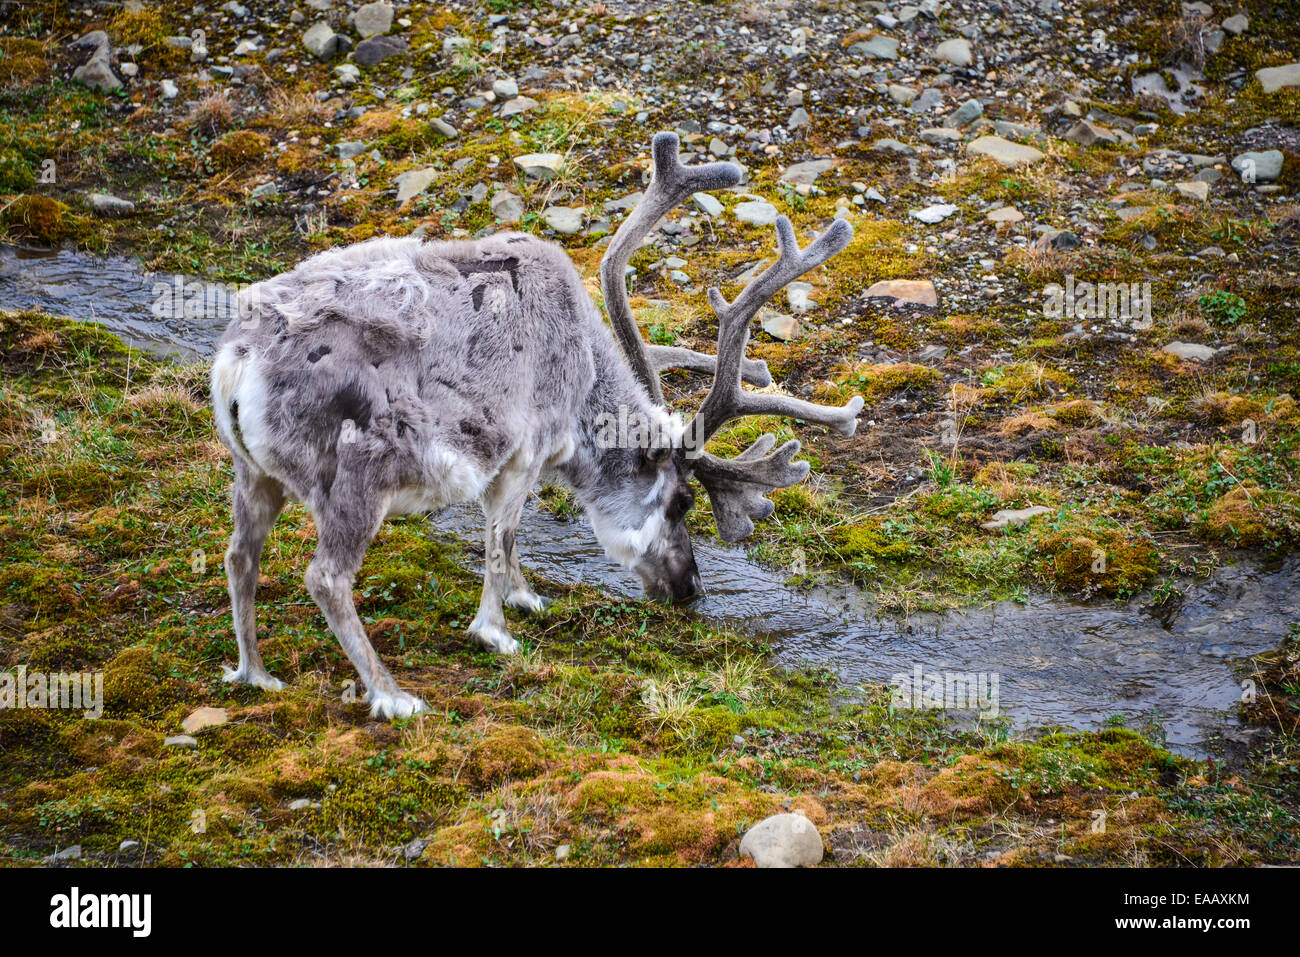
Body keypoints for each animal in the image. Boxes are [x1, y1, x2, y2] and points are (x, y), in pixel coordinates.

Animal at [210, 131, 863, 719]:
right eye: (681, 502)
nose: (689, 590)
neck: (583, 388)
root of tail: (238, 360)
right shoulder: (523, 455)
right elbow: (500, 540)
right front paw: (496, 631)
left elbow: (510, 539)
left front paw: (527, 597)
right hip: (355, 483)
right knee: (325, 577)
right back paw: (393, 696)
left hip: (253, 472)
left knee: (239, 556)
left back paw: (255, 674)